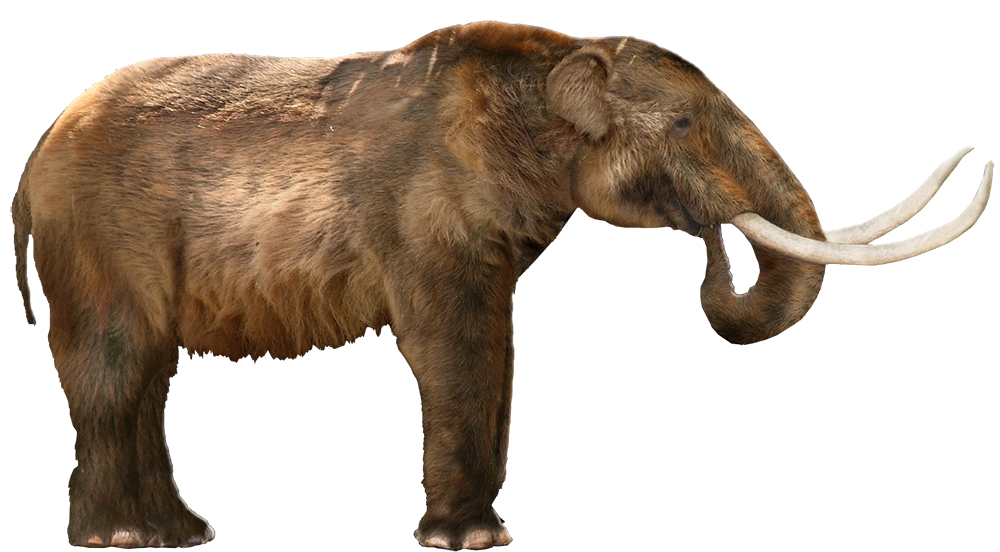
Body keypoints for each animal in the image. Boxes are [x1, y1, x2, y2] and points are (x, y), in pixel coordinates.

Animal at [9, 21, 992, 550]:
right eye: (684, 125)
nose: (710, 259)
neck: (557, 53)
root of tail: (41, 147)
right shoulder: (422, 208)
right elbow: (457, 343)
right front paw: (473, 540)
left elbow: (498, 344)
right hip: (102, 231)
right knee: (117, 366)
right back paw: (125, 538)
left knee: (143, 376)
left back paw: (178, 534)